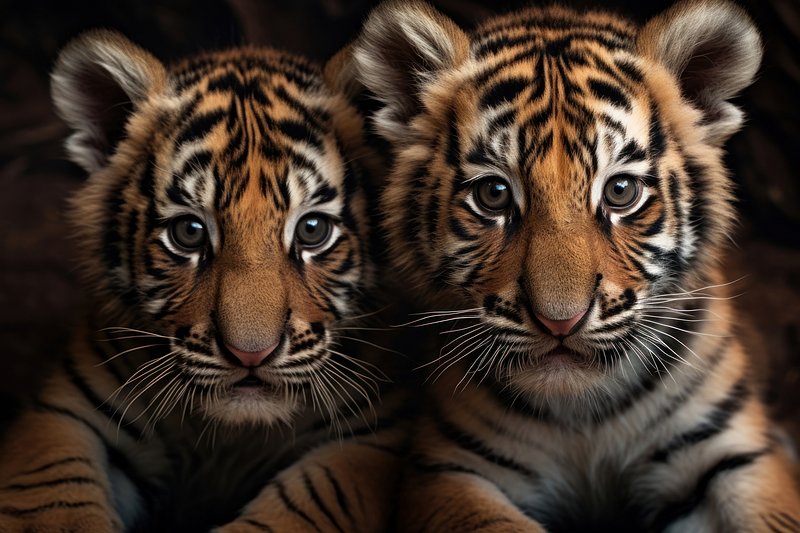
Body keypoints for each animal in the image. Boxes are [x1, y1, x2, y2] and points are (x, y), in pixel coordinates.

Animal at [0, 30, 408, 532]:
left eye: (312, 229)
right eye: (189, 232)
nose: (251, 354)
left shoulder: (374, 434)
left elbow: (310, 501)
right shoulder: (62, 415)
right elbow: (54, 501)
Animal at [344, 0, 800, 531]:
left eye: (621, 191)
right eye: (493, 194)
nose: (560, 321)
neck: (582, 415)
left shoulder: (733, 452)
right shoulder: (448, 470)